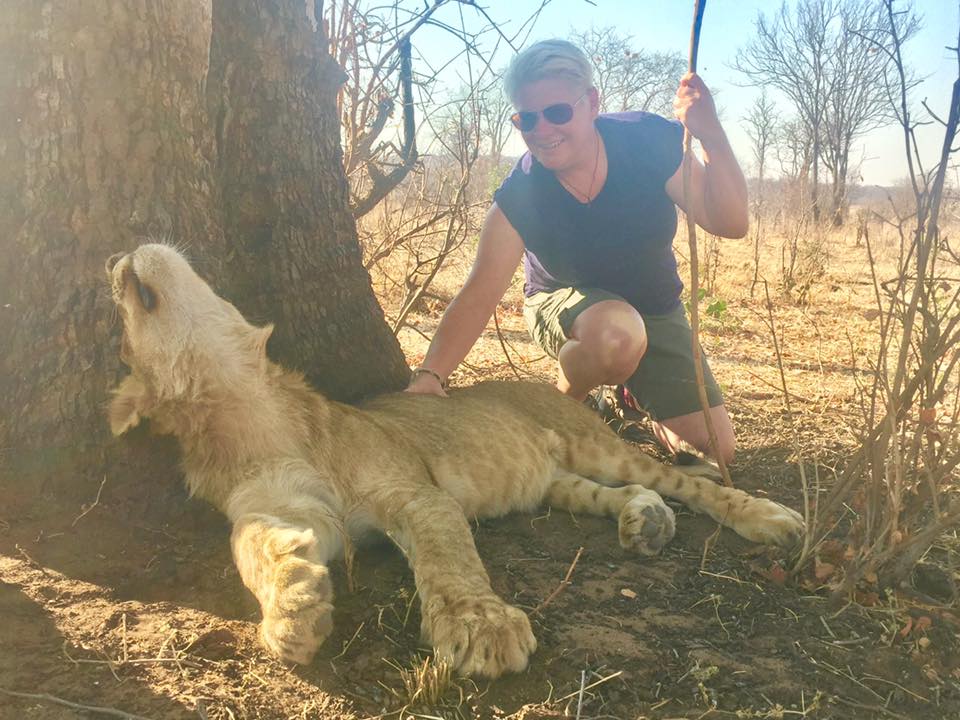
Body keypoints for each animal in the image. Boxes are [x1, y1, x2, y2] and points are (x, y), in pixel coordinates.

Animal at [106, 243, 804, 679]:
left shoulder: (413, 492)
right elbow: (251, 544)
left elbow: (448, 558)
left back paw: (769, 518)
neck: (253, 418)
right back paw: (646, 522)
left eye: (119, 333)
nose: (113, 264)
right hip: (554, 482)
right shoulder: (292, 508)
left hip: (597, 443)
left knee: (689, 483)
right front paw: (292, 607)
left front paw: (481, 629)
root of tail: (548, 390)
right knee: (611, 494)